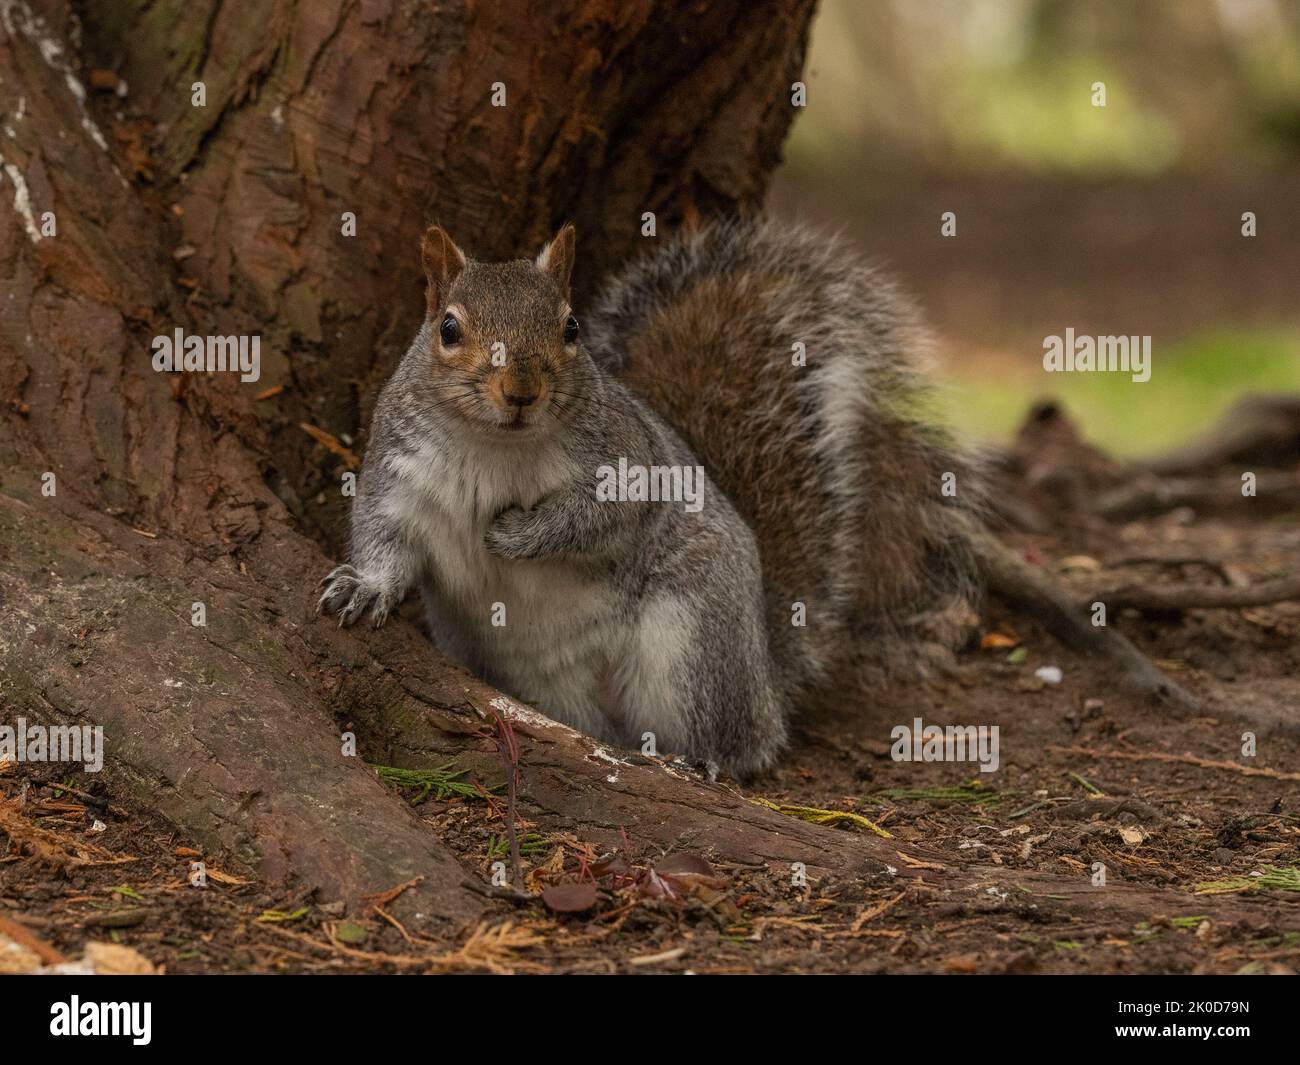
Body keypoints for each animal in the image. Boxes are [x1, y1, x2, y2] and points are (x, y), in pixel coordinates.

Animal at [318, 224, 788, 776]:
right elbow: (382, 533)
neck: (495, 444)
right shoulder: (397, 470)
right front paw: (366, 588)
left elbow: (597, 516)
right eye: (448, 329)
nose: (521, 391)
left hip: (695, 636)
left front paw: (513, 535)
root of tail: (768, 678)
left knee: (730, 735)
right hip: (551, 681)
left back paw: (705, 761)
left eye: (572, 327)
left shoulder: (630, 462)